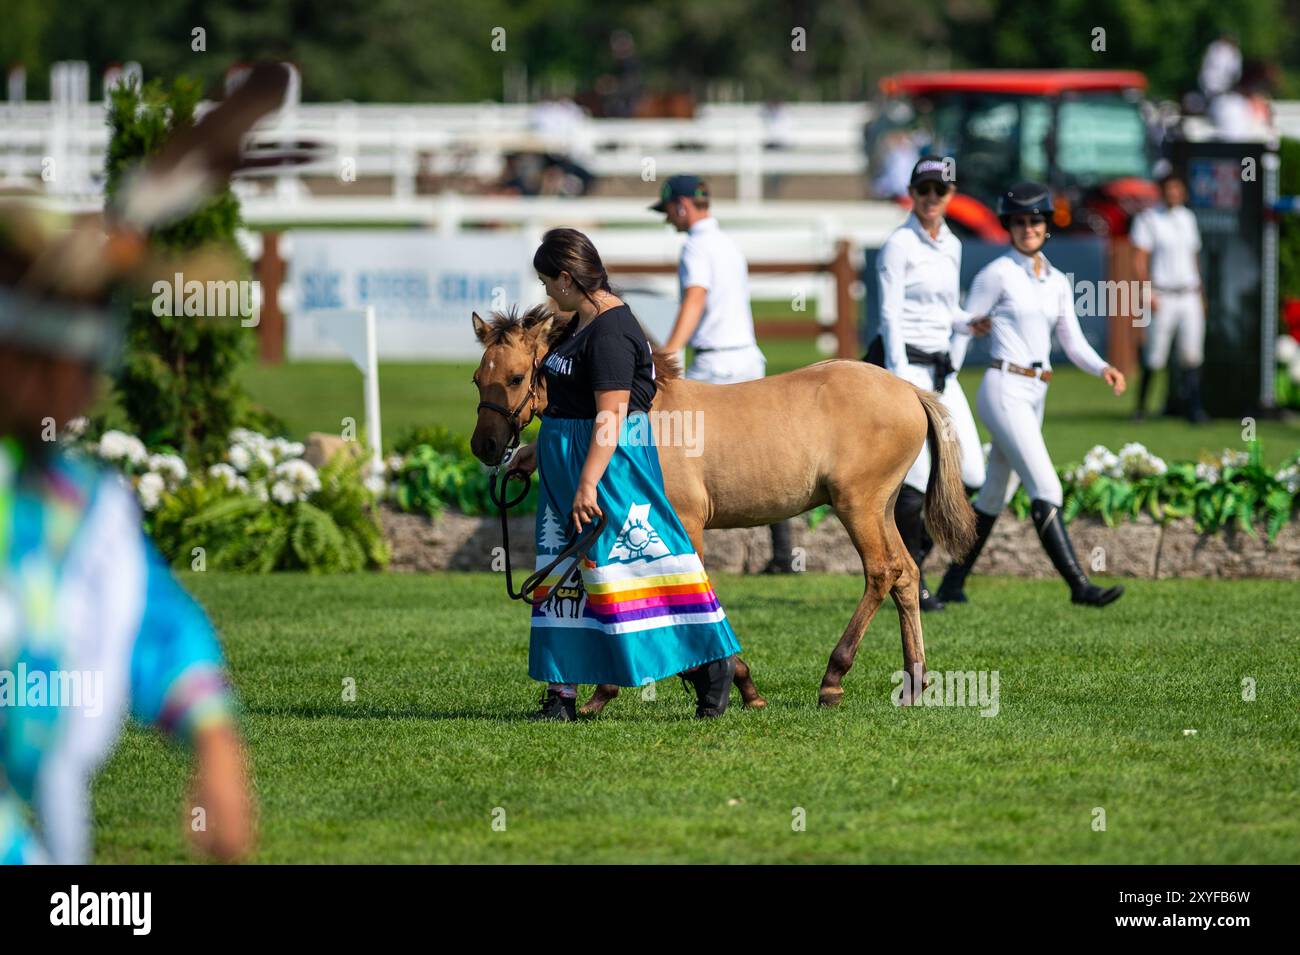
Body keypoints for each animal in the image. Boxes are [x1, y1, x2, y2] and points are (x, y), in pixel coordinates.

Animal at [470, 305, 976, 712]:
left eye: (516, 377)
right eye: (478, 378)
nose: (485, 446)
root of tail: (908, 390)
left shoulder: (682, 523)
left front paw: (719, 682)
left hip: (857, 504)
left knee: (882, 572)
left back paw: (833, 679)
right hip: (881, 507)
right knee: (906, 573)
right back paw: (913, 683)